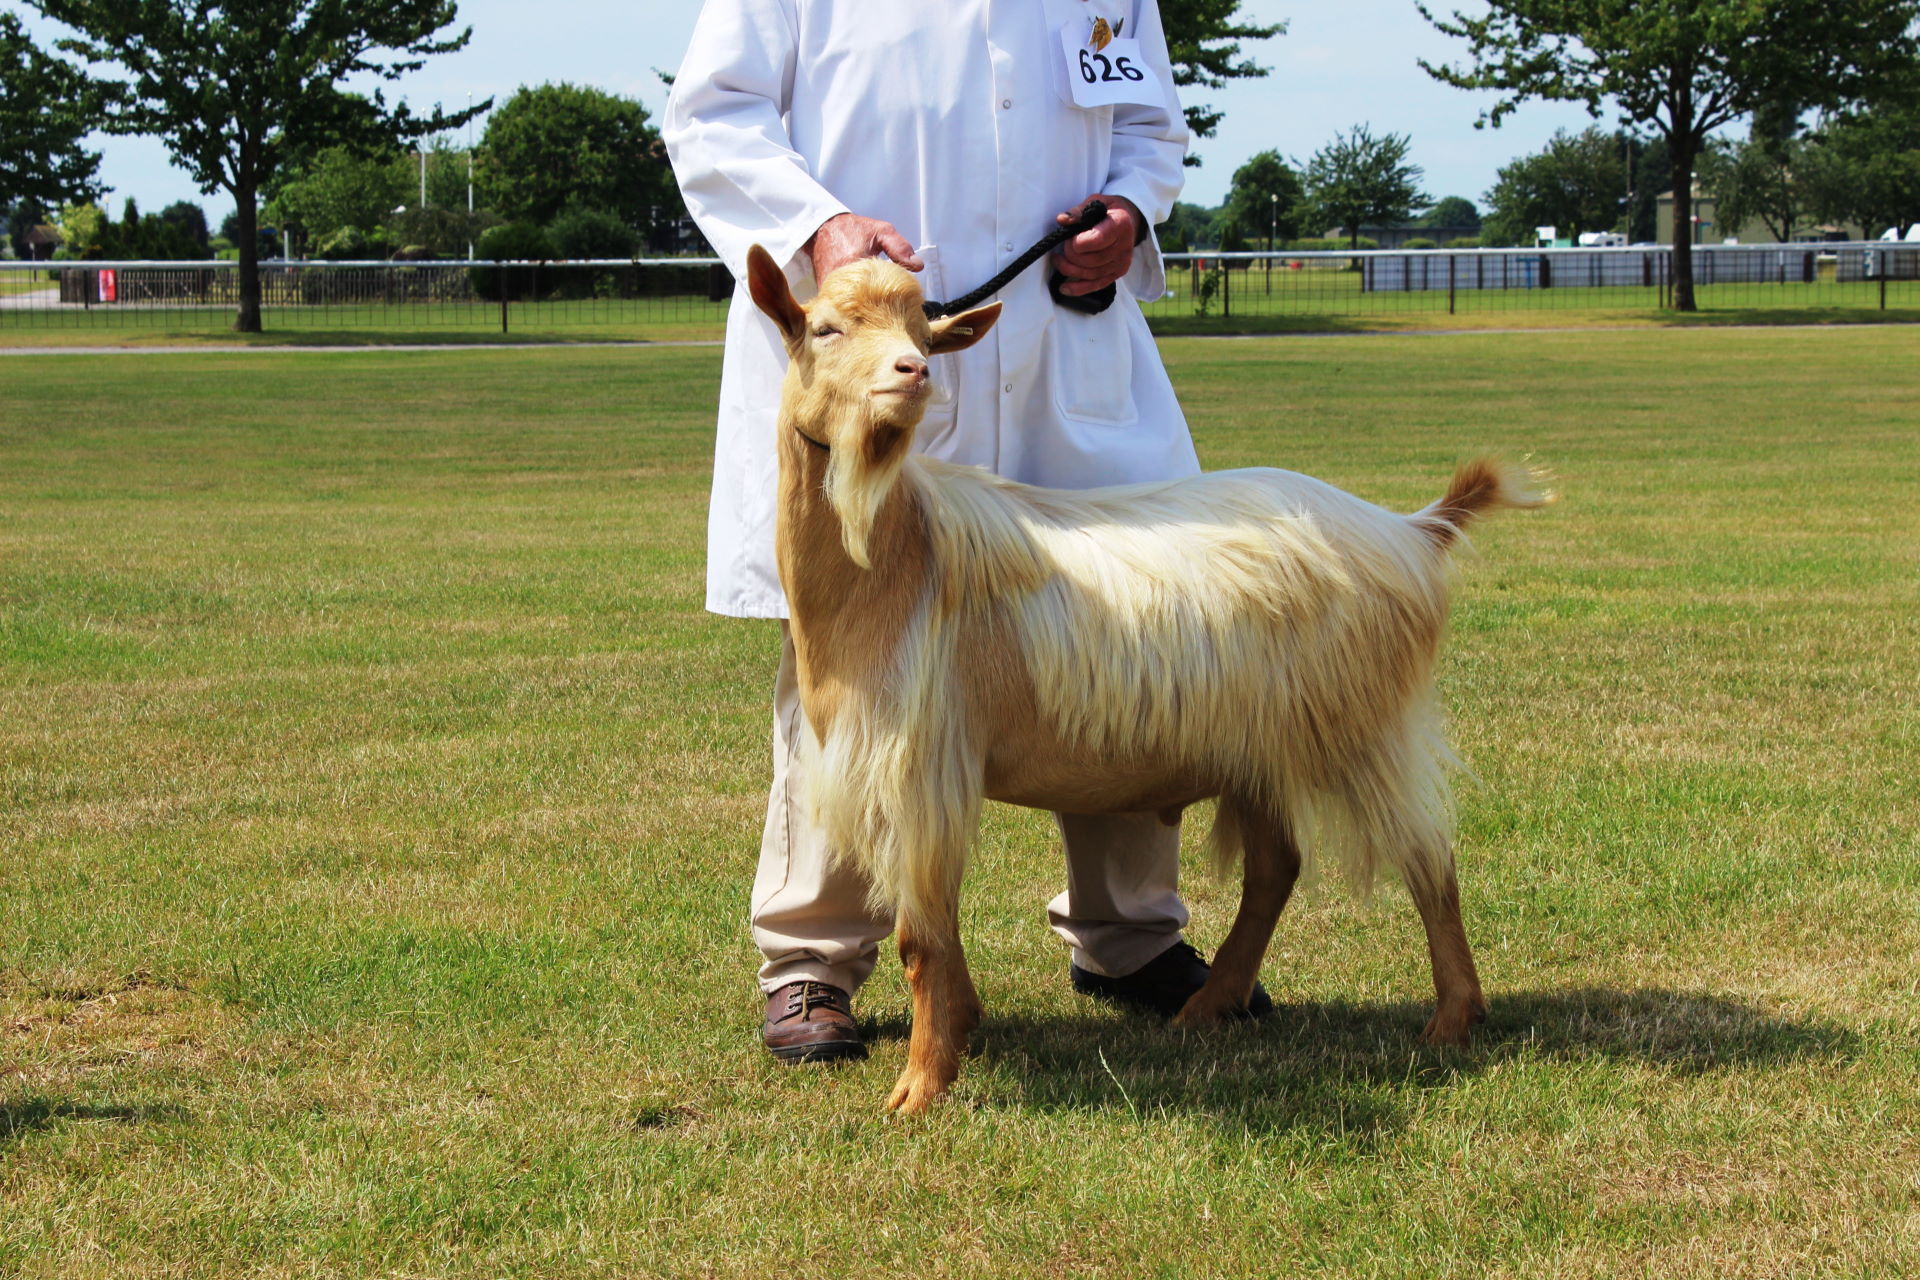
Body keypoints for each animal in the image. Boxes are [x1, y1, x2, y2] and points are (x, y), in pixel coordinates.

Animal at [744, 244, 1548, 1113]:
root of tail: (1411, 530)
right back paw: (1210, 1004)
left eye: (925, 333)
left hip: (1360, 723)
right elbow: (939, 930)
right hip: (1261, 745)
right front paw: (960, 1028)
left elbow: (920, 937)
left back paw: (1453, 1017)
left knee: (1429, 858)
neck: (898, 559)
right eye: (825, 329)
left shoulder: (922, 767)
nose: (912, 372)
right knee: (1276, 871)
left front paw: (920, 1087)